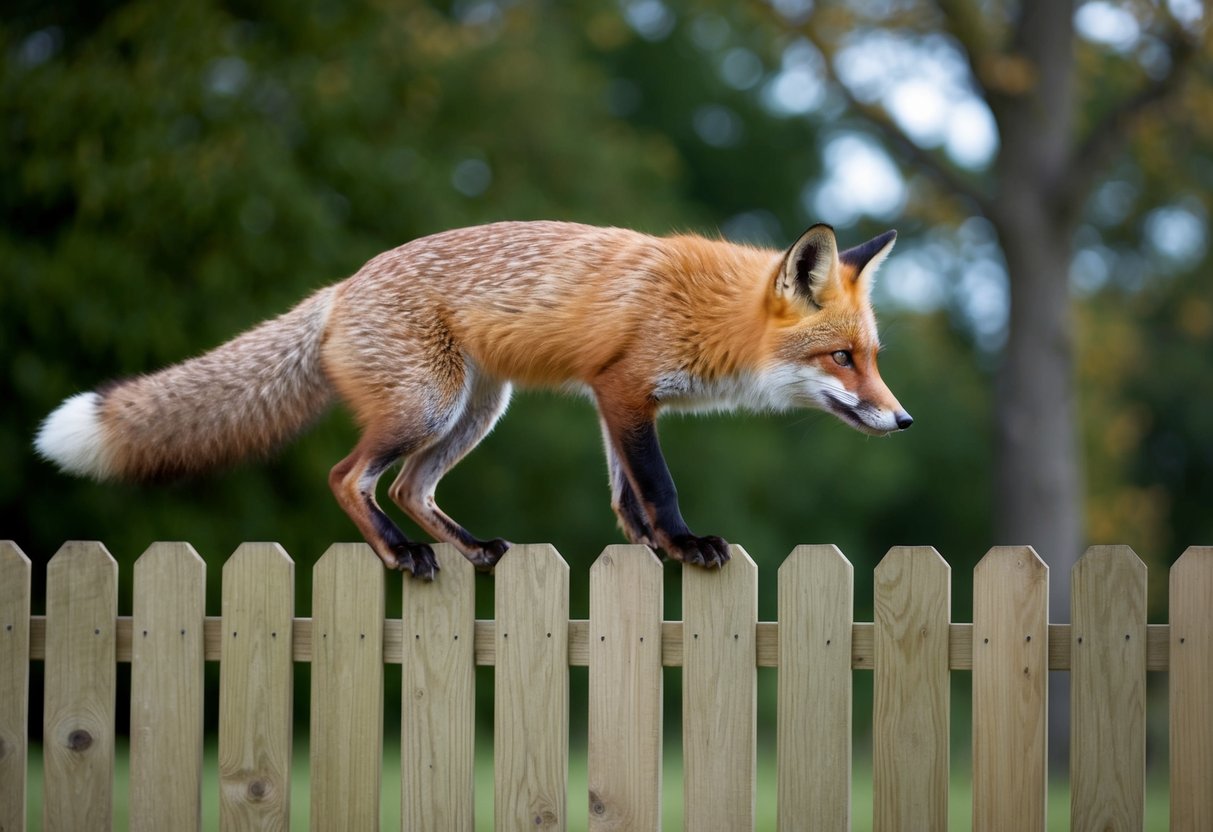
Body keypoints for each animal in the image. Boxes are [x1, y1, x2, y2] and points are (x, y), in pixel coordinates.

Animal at [36, 220, 911, 579]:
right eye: (840, 358)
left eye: (872, 359)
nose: (902, 419)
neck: (712, 314)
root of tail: (340, 287)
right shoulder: (626, 389)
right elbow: (656, 486)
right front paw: (685, 544)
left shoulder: (612, 399)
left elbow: (623, 496)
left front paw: (647, 551)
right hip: (427, 405)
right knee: (348, 477)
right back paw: (403, 555)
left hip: (476, 410)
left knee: (407, 486)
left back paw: (471, 548)